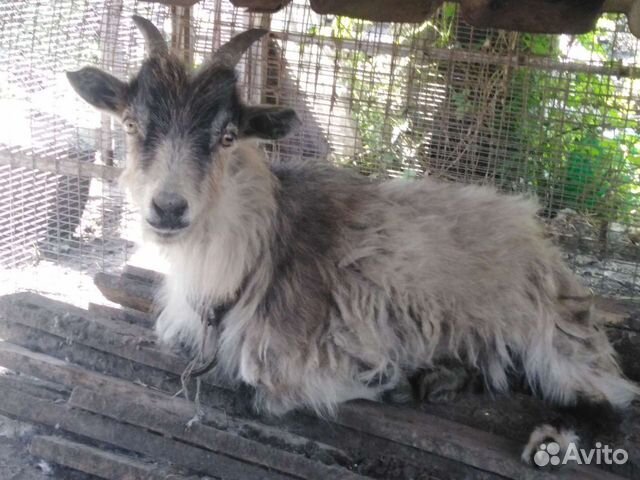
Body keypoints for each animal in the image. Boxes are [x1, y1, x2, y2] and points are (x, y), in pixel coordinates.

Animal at [68, 16, 638, 464]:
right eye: (131, 123)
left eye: (227, 136)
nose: (168, 208)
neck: (259, 241)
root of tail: (538, 238)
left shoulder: (308, 352)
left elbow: (264, 394)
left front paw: (385, 382)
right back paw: (442, 378)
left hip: (546, 326)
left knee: (609, 396)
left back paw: (548, 435)